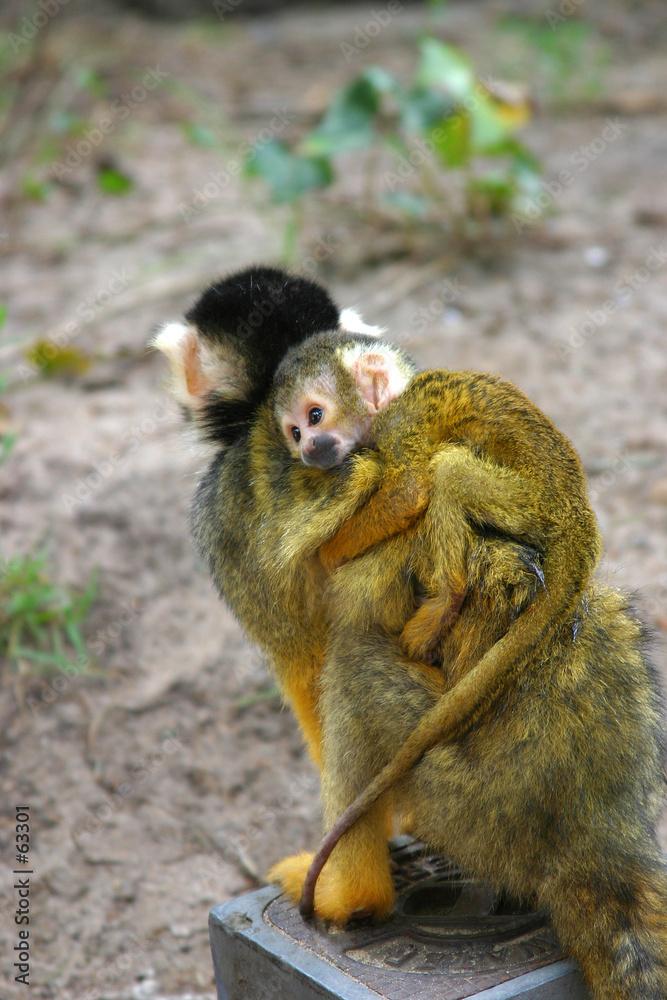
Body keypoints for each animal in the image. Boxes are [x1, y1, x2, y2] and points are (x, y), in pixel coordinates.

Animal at [153, 267, 667, 1000]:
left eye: (314, 417)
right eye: (295, 427)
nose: (311, 448)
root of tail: (590, 832)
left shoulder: (231, 521)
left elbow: (305, 647)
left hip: (467, 796)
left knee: (352, 667)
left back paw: (353, 893)